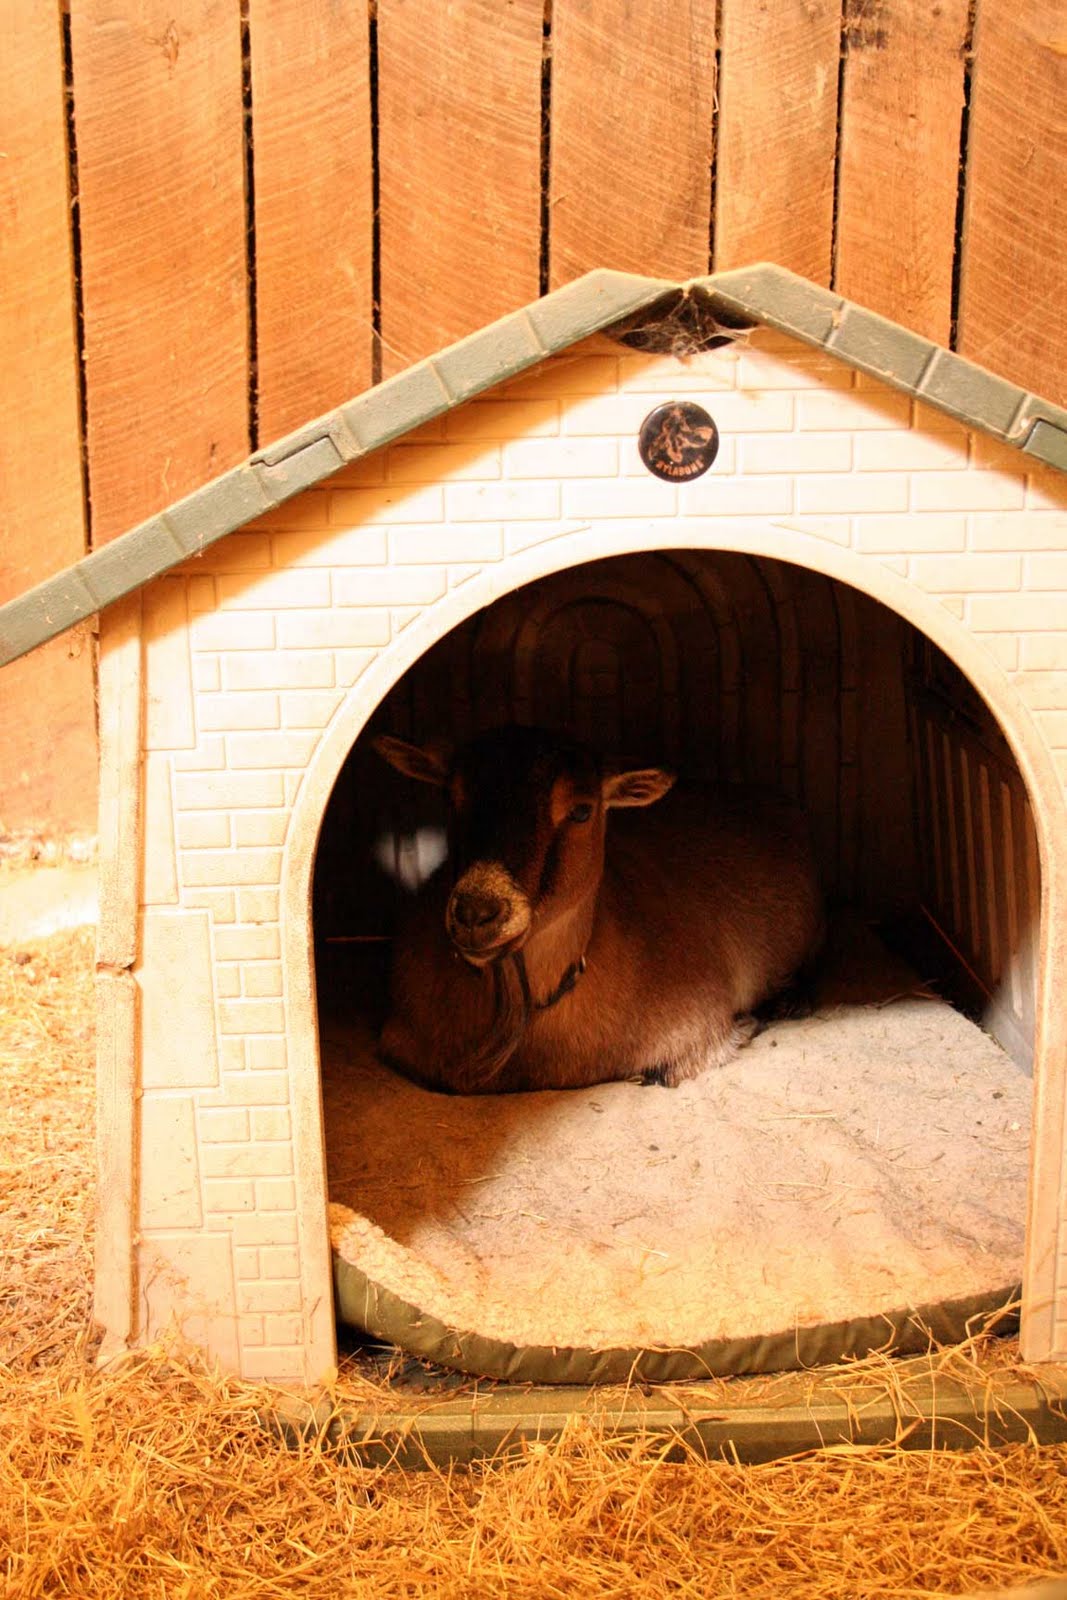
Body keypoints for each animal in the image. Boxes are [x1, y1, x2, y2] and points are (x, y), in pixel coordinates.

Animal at [373, 725, 823, 1094]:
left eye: (581, 810)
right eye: (450, 798)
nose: (476, 912)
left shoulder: (701, 1024)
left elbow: (663, 1070)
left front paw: (751, 1023)